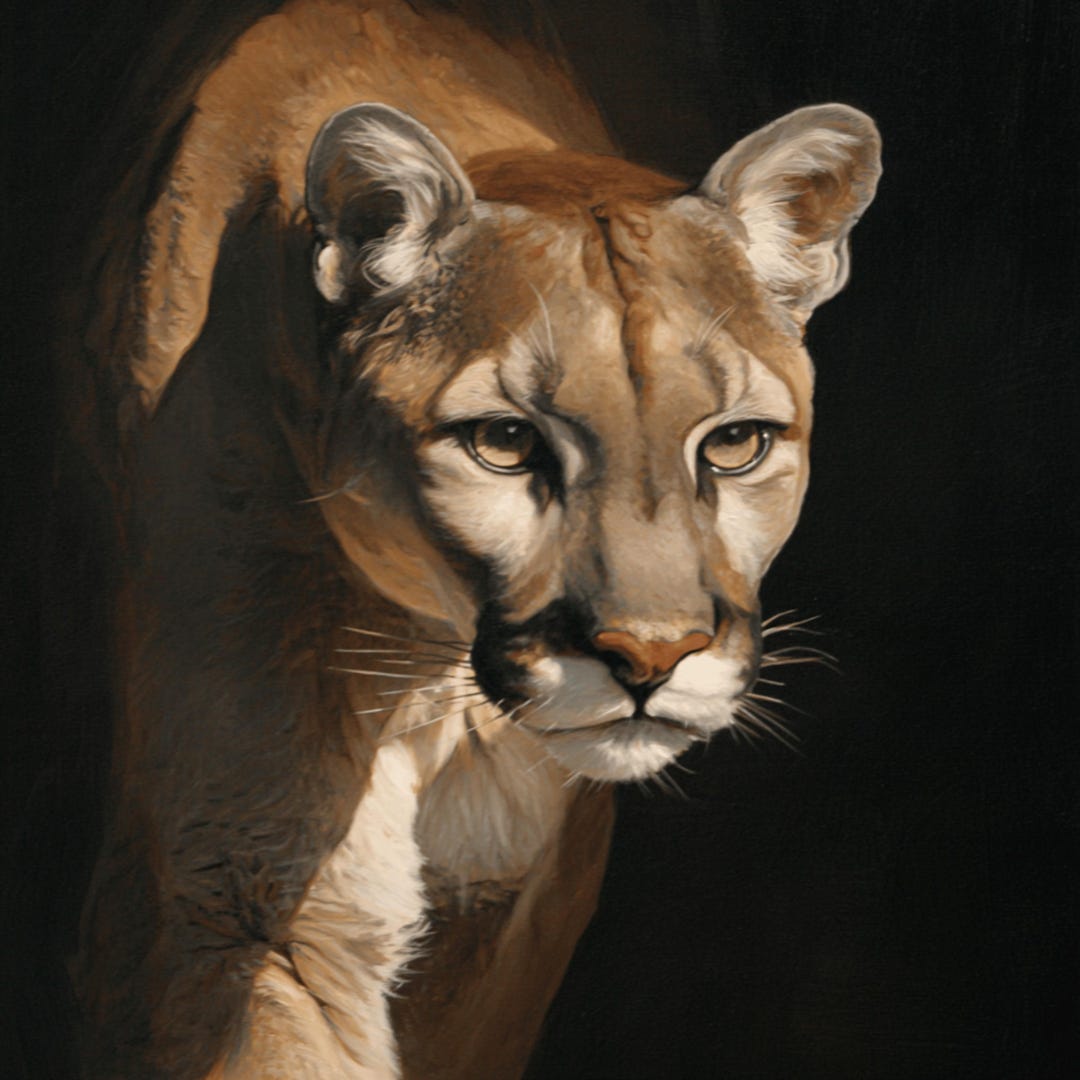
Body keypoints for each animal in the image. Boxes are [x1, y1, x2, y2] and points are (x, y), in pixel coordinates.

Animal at [71, 1, 881, 1076]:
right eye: (504, 442)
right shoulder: (244, 892)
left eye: (735, 444)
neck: (432, 683)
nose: (652, 656)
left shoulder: (513, 913)